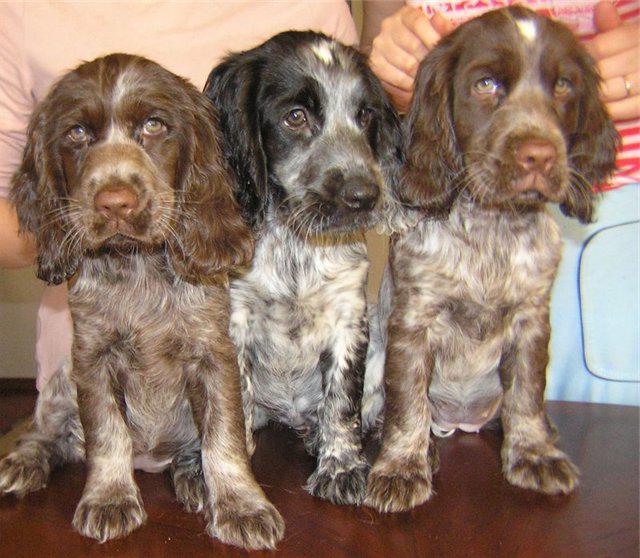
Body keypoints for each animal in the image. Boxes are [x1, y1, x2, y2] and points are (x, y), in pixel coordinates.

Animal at [0, 53, 284, 552]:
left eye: (154, 125)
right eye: (76, 133)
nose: (116, 203)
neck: (137, 264)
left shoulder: (214, 356)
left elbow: (224, 439)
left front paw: (240, 504)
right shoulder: (91, 359)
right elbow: (107, 434)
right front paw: (109, 497)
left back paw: (192, 476)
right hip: (60, 381)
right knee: (46, 430)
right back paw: (25, 460)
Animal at [364, 6, 620, 516]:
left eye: (564, 86)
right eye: (486, 84)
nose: (539, 155)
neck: (492, 226)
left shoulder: (531, 322)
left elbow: (527, 394)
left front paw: (535, 453)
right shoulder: (413, 321)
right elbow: (407, 403)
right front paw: (401, 468)